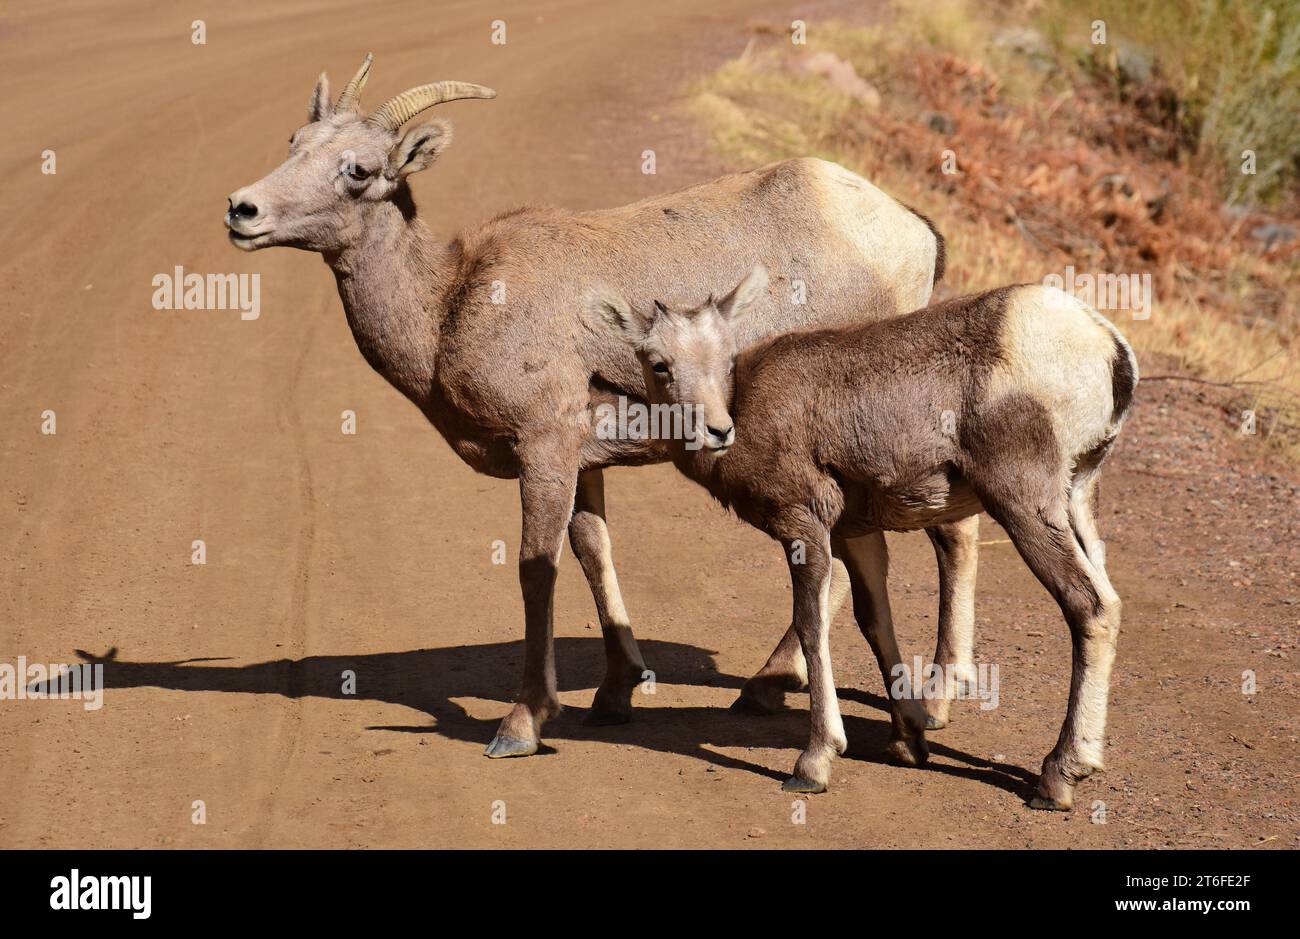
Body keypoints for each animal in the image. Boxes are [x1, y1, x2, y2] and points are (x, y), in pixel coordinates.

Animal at [594, 267, 1136, 806]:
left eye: (726, 359)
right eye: (659, 364)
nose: (716, 430)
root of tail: (1106, 345)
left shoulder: (803, 525)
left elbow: (812, 625)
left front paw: (814, 764)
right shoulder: (856, 534)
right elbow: (875, 622)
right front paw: (908, 740)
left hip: (1024, 504)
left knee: (1091, 607)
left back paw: (1059, 776)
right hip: (1076, 499)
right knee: (1104, 596)